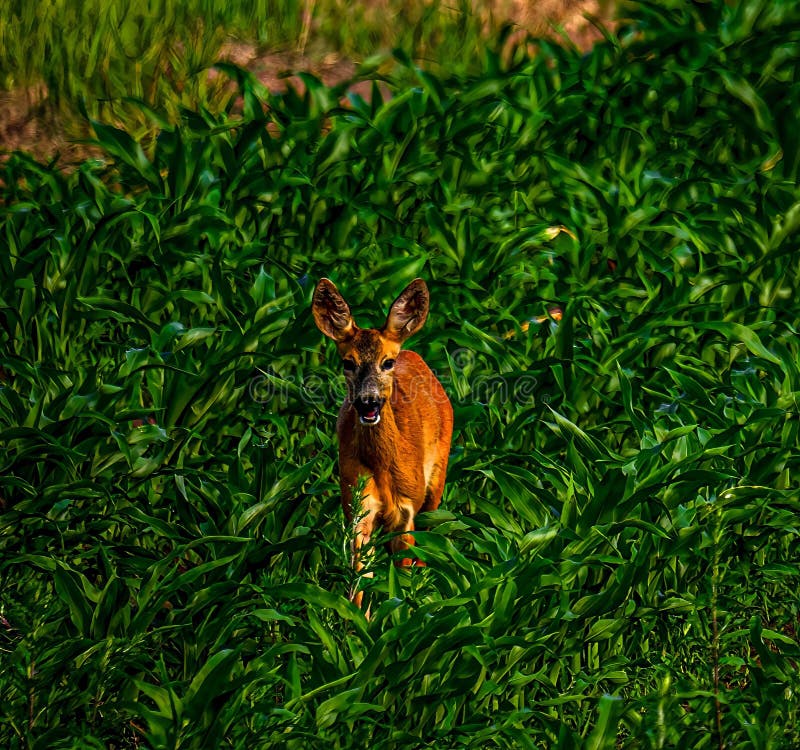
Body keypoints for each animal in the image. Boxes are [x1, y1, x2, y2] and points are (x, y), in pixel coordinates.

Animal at [312, 278, 453, 609]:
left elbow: (402, 576)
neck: (384, 468)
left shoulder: (408, 510)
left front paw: (404, 614)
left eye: (387, 362)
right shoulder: (357, 505)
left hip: (435, 485)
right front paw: (355, 622)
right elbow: (359, 580)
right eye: (347, 362)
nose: (368, 402)